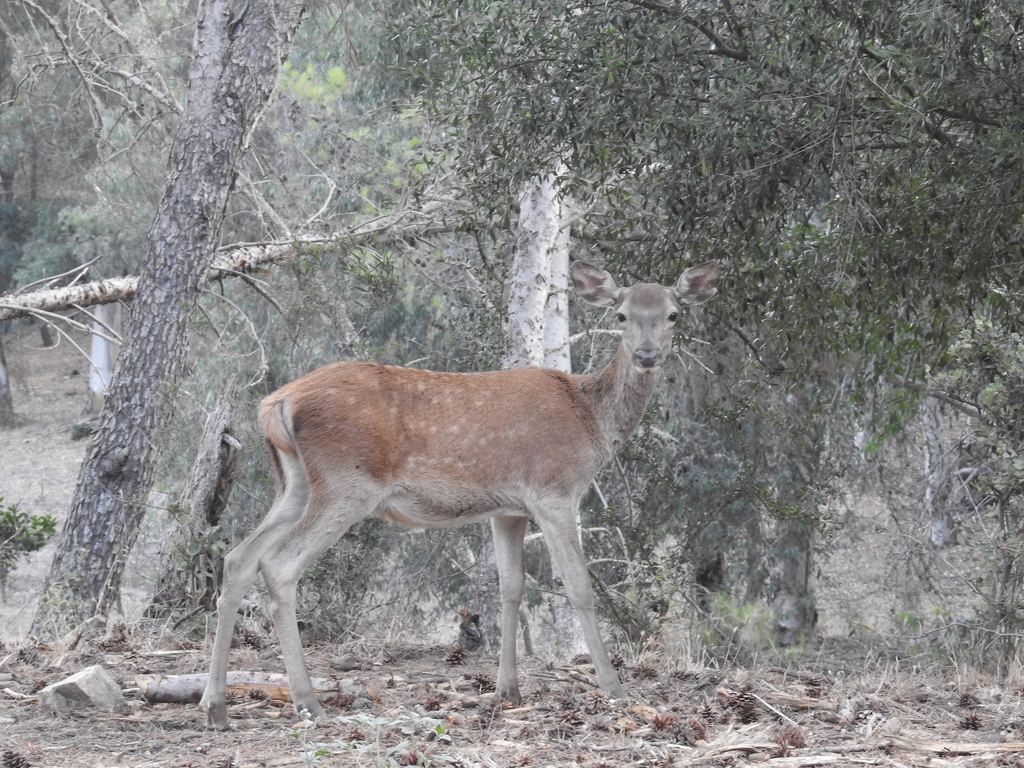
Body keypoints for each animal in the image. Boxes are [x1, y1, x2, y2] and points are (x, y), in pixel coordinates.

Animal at [199, 260, 719, 729]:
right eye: (621, 314)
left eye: (674, 314)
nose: (647, 355)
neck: (592, 420)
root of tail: (276, 403)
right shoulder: (554, 490)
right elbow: (579, 587)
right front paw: (613, 687)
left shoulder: (508, 509)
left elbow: (511, 588)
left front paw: (507, 691)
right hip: (347, 483)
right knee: (279, 564)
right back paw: (308, 702)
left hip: (295, 483)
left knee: (240, 557)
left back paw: (216, 707)